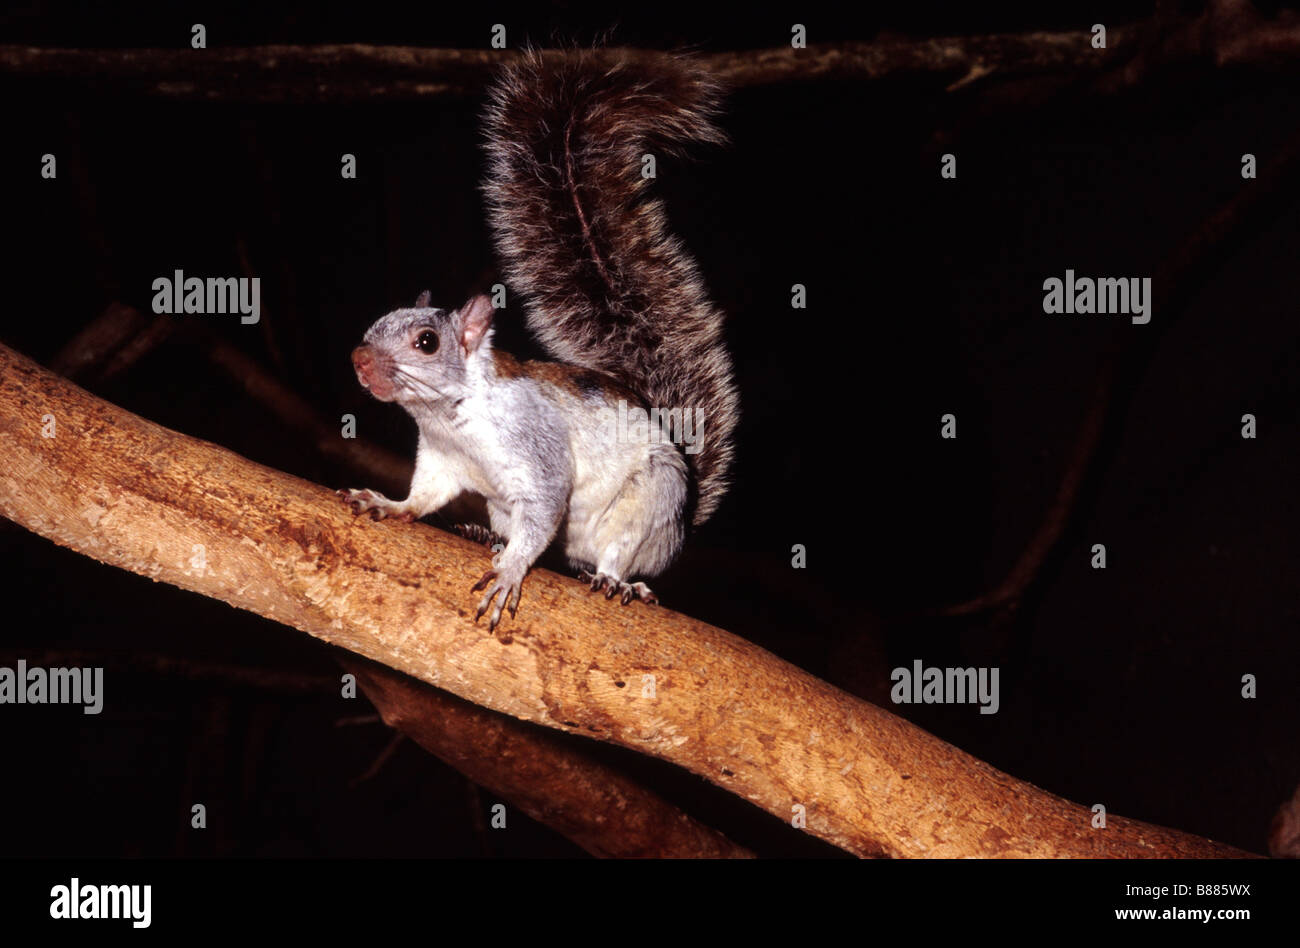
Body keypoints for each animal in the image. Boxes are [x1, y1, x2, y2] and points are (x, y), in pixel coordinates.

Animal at [338, 50, 739, 630]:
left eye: (427, 342)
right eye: (376, 322)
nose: (359, 359)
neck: (450, 417)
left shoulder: (538, 452)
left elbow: (544, 511)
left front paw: (509, 573)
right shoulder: (440, 459)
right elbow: (425, 497)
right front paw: (390, 505)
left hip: (651, 502)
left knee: (615, 554)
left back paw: (619, 582)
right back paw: (483, 533)